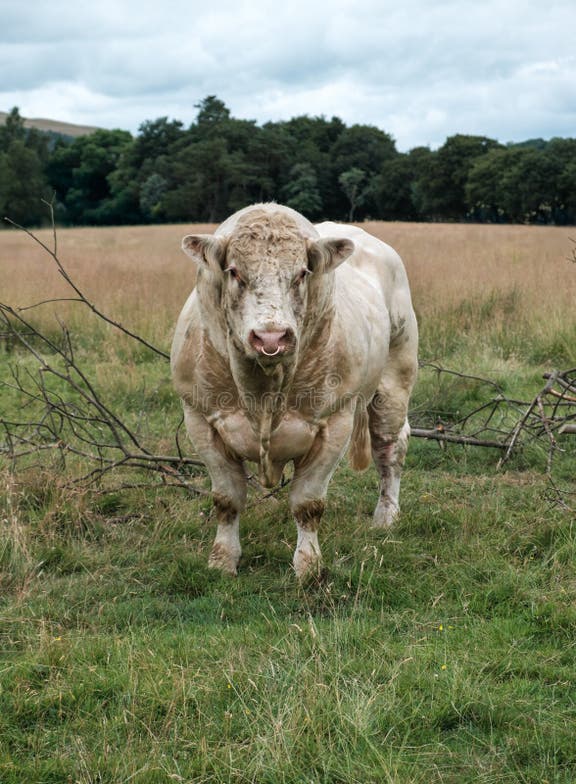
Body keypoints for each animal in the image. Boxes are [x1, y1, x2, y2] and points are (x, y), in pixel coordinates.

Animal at [171, 203, 418, 578]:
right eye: (234, 272)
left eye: (302, 273)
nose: (271, 337)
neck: (262, 391)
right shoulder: (200, 419)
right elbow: (226, 499)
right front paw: (222, 560)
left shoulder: (334, 423)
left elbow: (308, 503)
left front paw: (308, 565)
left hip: (394, 381)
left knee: (389, 448)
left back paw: (386, 515)